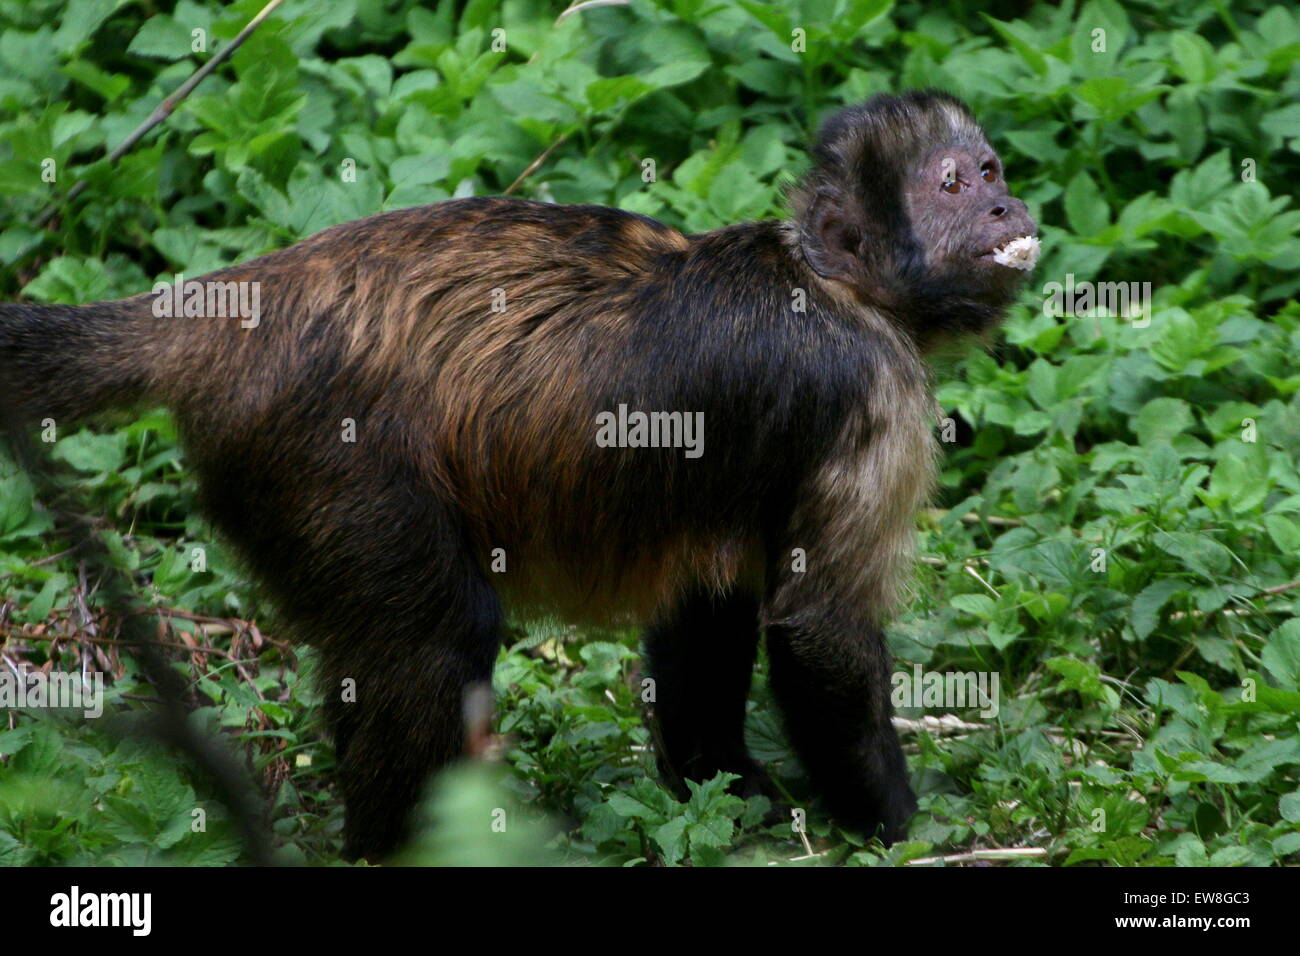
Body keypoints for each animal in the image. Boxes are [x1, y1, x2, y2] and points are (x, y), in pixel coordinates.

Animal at [0, 90, 1037, 861]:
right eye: (950, 184)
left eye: (990, 172)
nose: (1005, 208)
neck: (829, 282)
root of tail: (237, 306)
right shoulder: (872, 386)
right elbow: (820, 629)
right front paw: (898, 826)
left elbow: (706, 605)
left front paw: (728, 798)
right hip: (320, 454)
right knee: (438, 639)